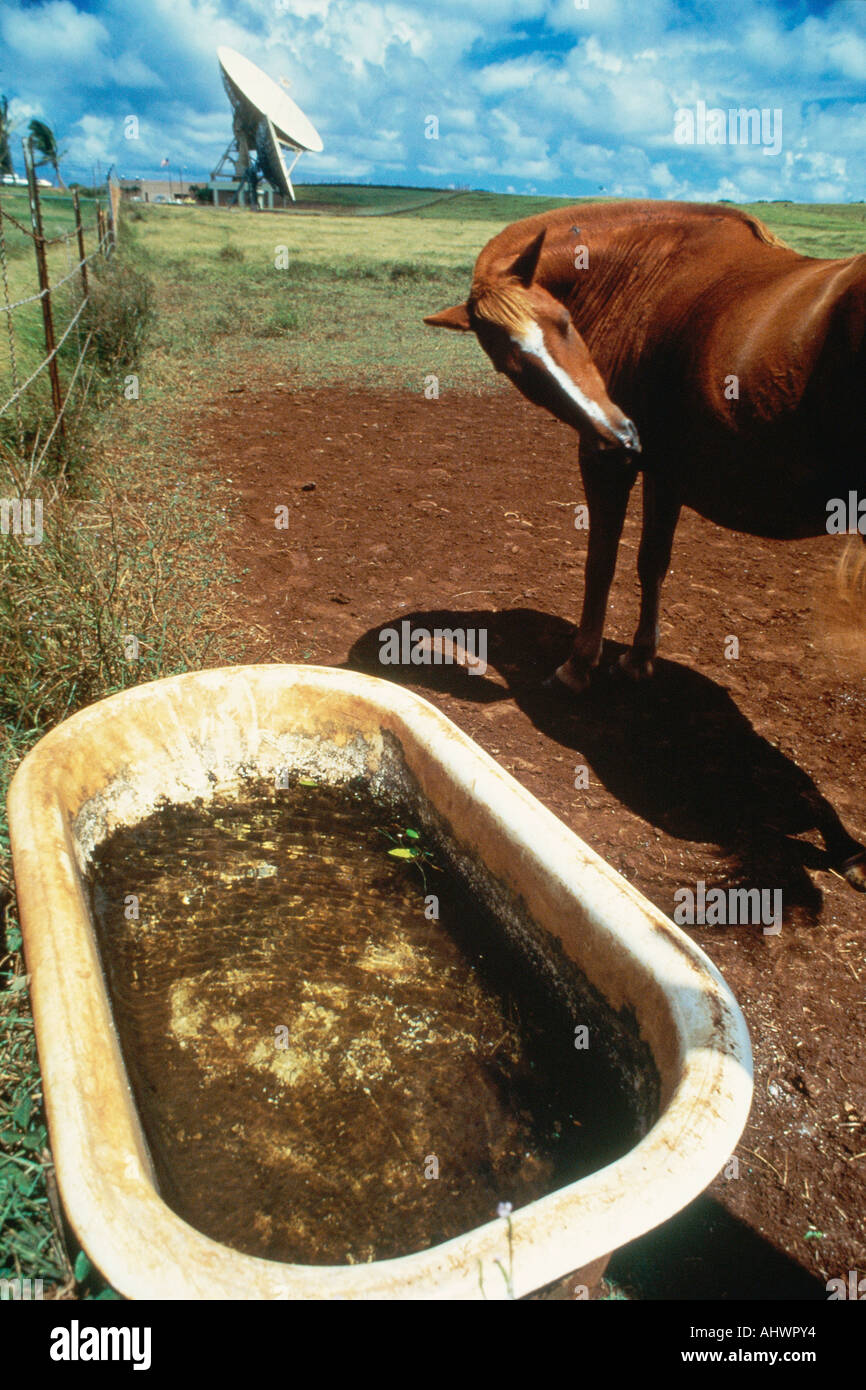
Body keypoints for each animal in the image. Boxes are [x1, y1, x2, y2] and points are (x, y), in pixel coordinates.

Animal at [425, 199, 866, 888]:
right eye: (512, 365)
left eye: (564, 323)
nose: (620, 430)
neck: (642, 267)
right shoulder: (663, 469)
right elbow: (651, 563)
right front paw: (637, 660)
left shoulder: (611, 463)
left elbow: (602, 563)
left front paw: (579, 665)